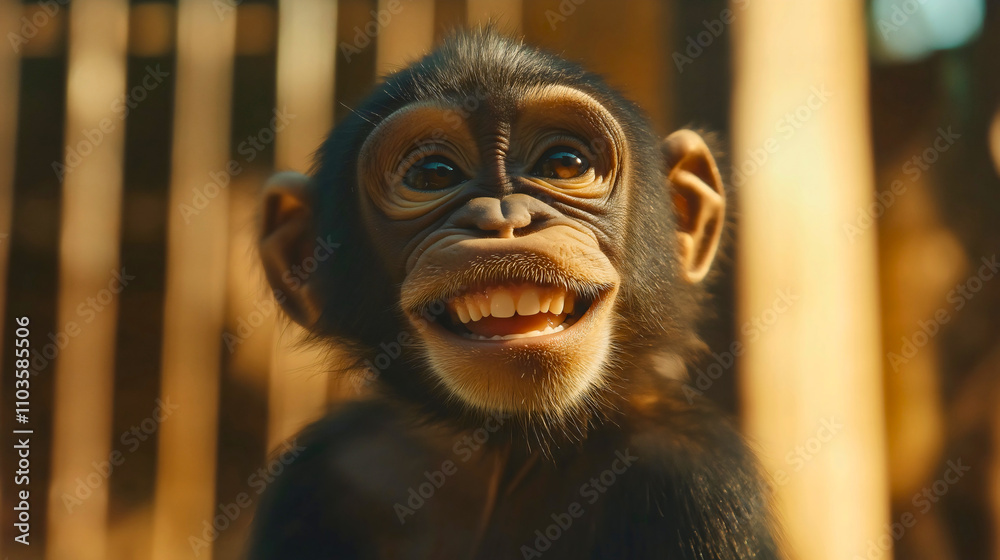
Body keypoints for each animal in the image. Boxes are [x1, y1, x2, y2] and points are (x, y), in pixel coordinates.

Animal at [250, 28, 782, 560]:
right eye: (433, 175)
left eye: (564, 164)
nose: (504, 218)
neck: (503, 446)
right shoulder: (323, 469)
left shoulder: (694, 478)